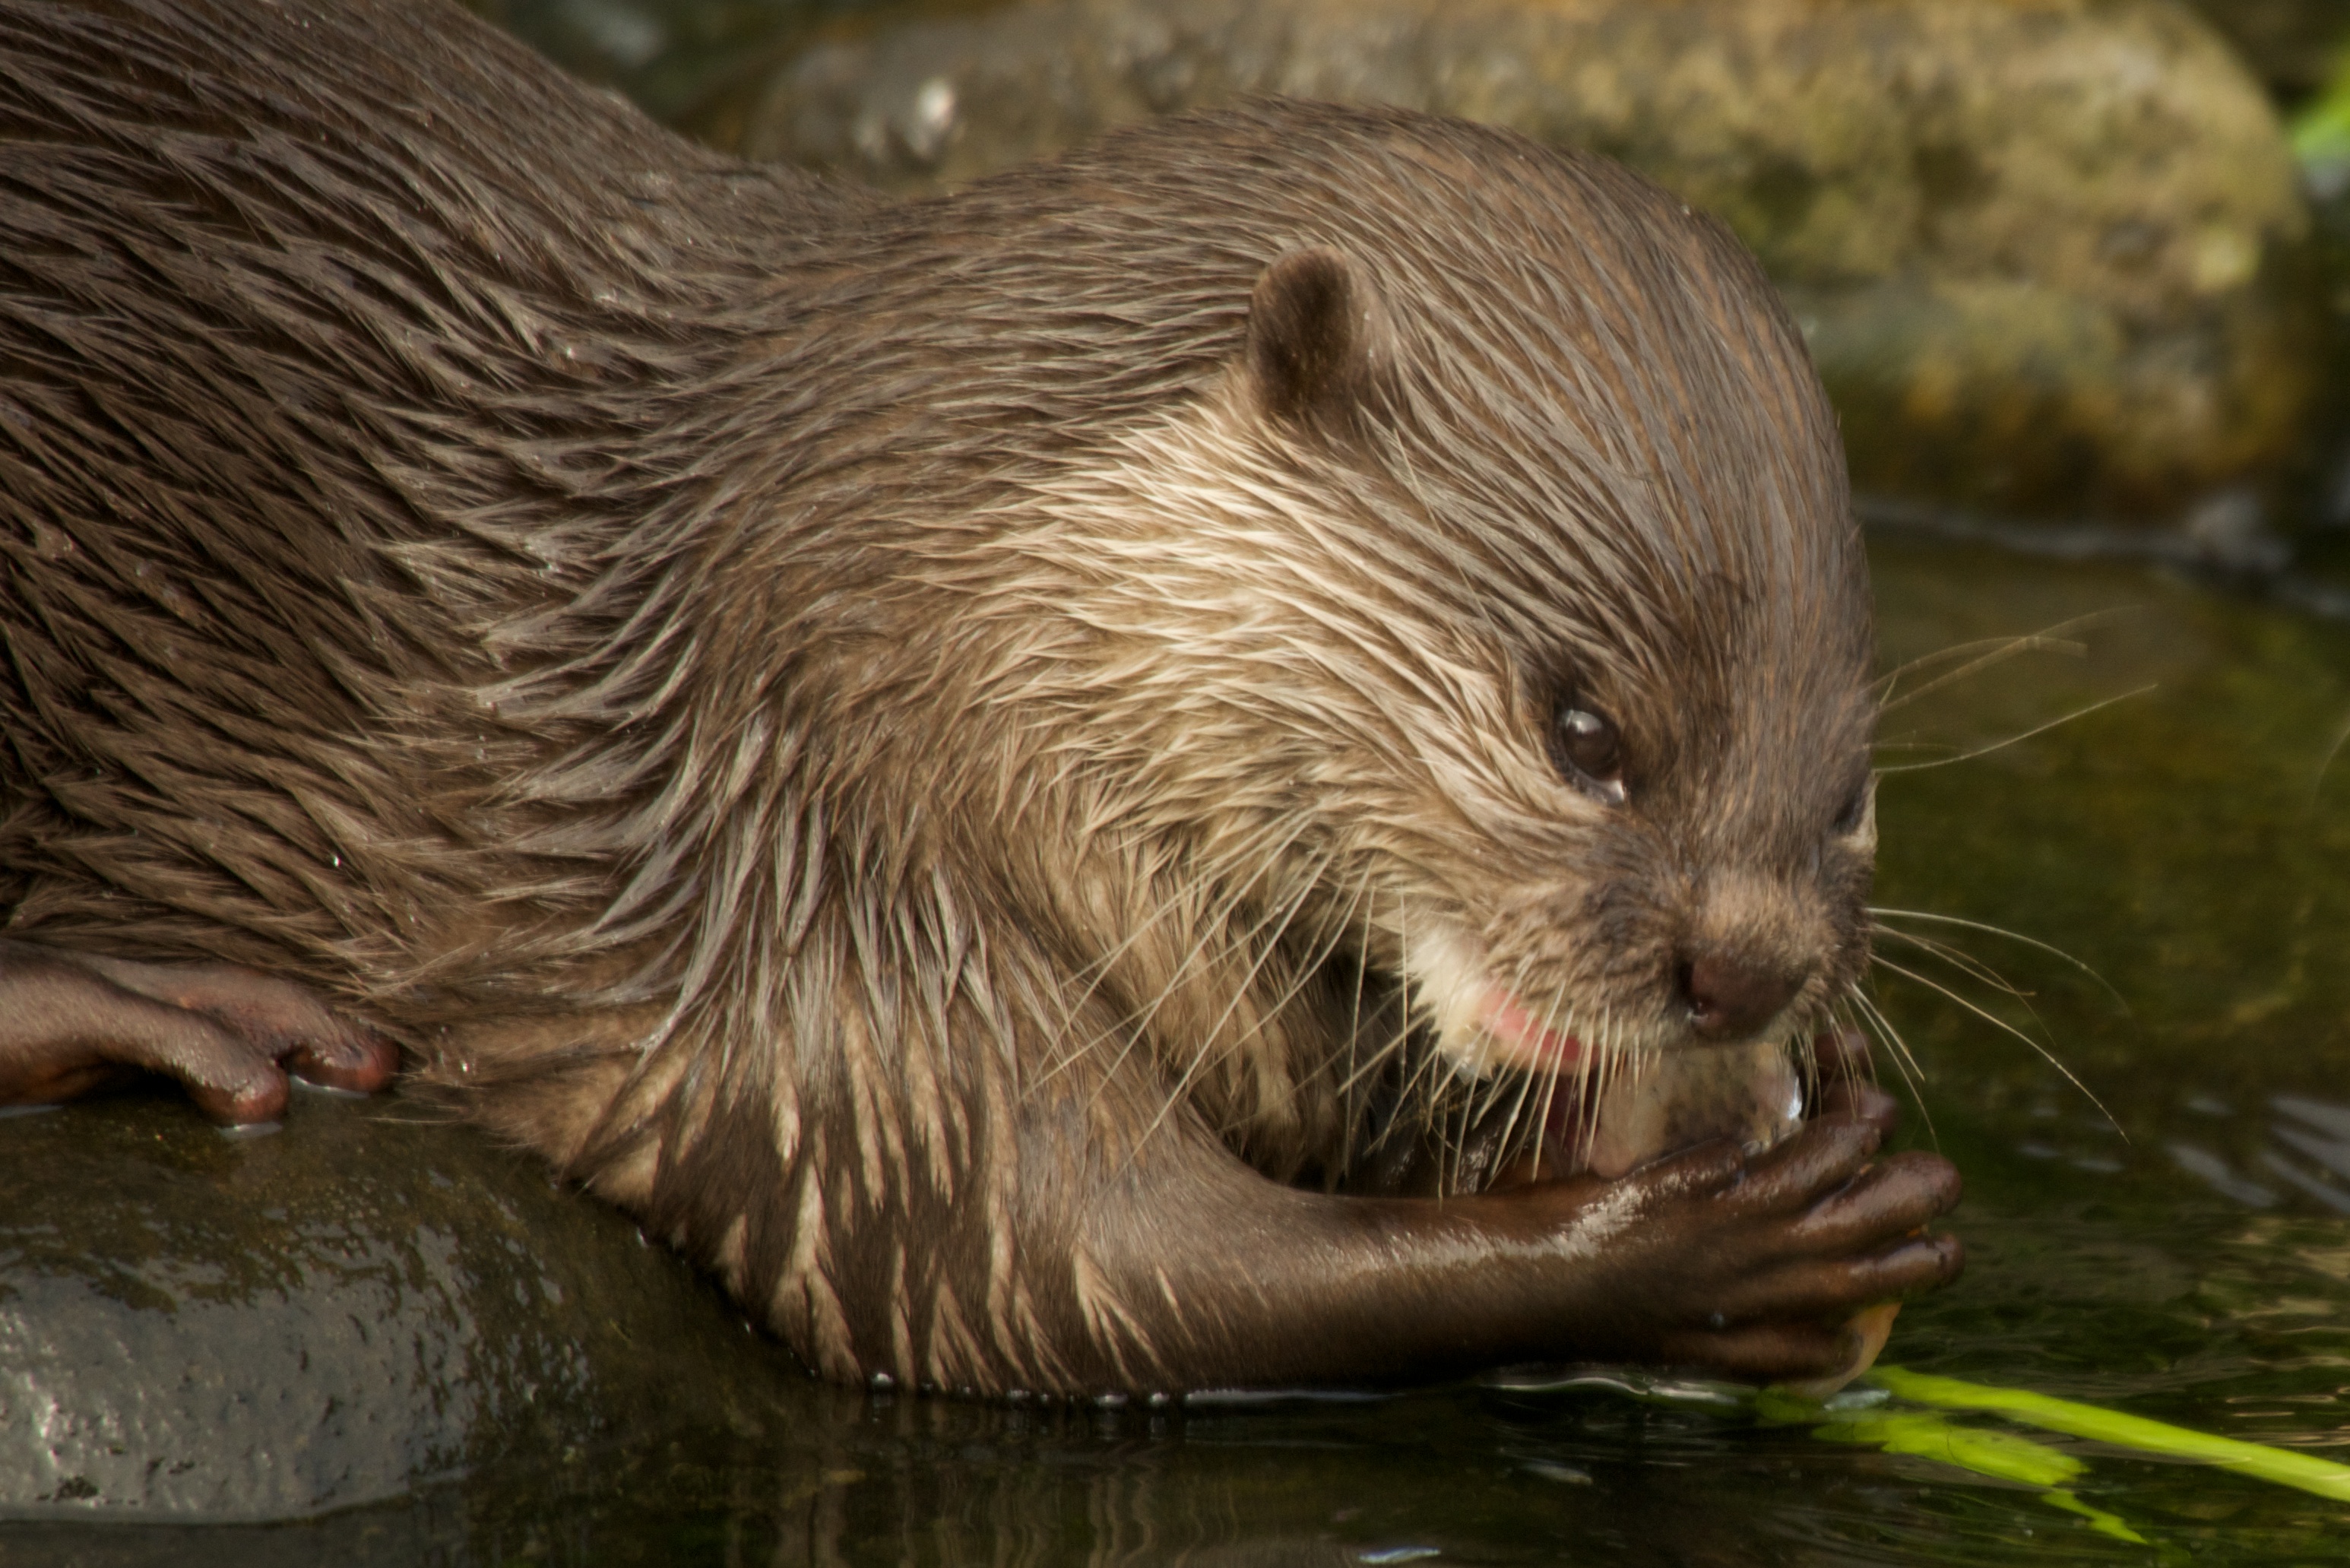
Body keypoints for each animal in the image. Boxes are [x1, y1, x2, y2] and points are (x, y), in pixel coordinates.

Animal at [0, 0, 1959, 1396]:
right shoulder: (790, 852)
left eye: (1852, 786)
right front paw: (1712, 1238)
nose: (1748, 967)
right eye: (1582, 729)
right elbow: (1052, 1264)